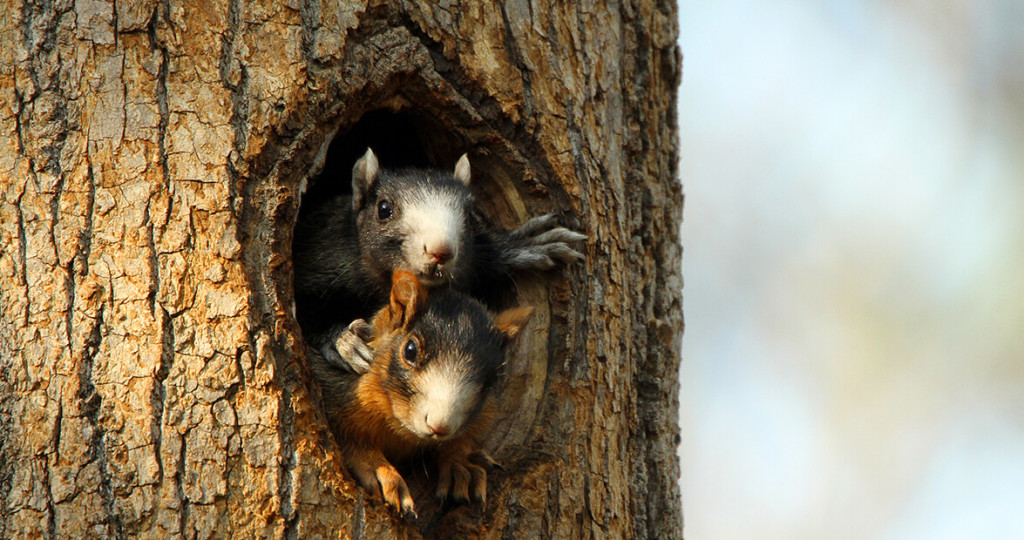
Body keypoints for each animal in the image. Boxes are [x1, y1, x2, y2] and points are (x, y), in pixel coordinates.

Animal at [293, 148, 584, 372]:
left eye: (471, 212)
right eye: (384, 209)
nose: (440, 250)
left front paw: (523, 244)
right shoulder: (324, 254)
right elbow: (305, 307)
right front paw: (344, 342)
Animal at [311, 271, 533, 517]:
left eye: (491, 381)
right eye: (410, 350)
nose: (440, 426)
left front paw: (458, 464)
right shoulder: (334, 384)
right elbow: (349, 438)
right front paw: (381, 470)